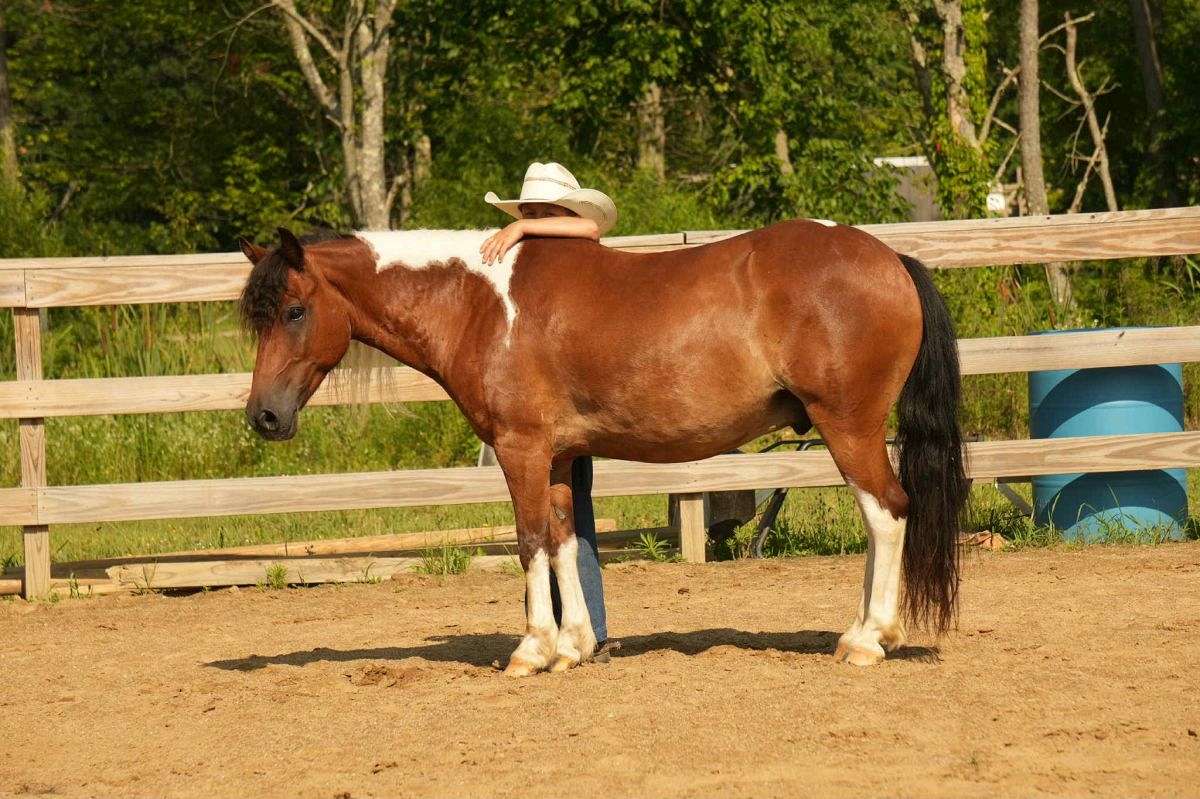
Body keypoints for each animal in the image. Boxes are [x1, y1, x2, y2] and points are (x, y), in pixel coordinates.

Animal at [237, 219, 968, 675]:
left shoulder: (521, 449)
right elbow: (565, 539)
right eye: (257, 319)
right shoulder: (558, 457)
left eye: (295, 311)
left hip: (848, 427)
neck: (478, 304)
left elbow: (530, 539)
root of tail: (889, 260)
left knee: (887, 512)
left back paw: (871, 639)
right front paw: (574, 646)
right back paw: (856, 632)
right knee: (880, 519)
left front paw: (532, 649)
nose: (264, 416)